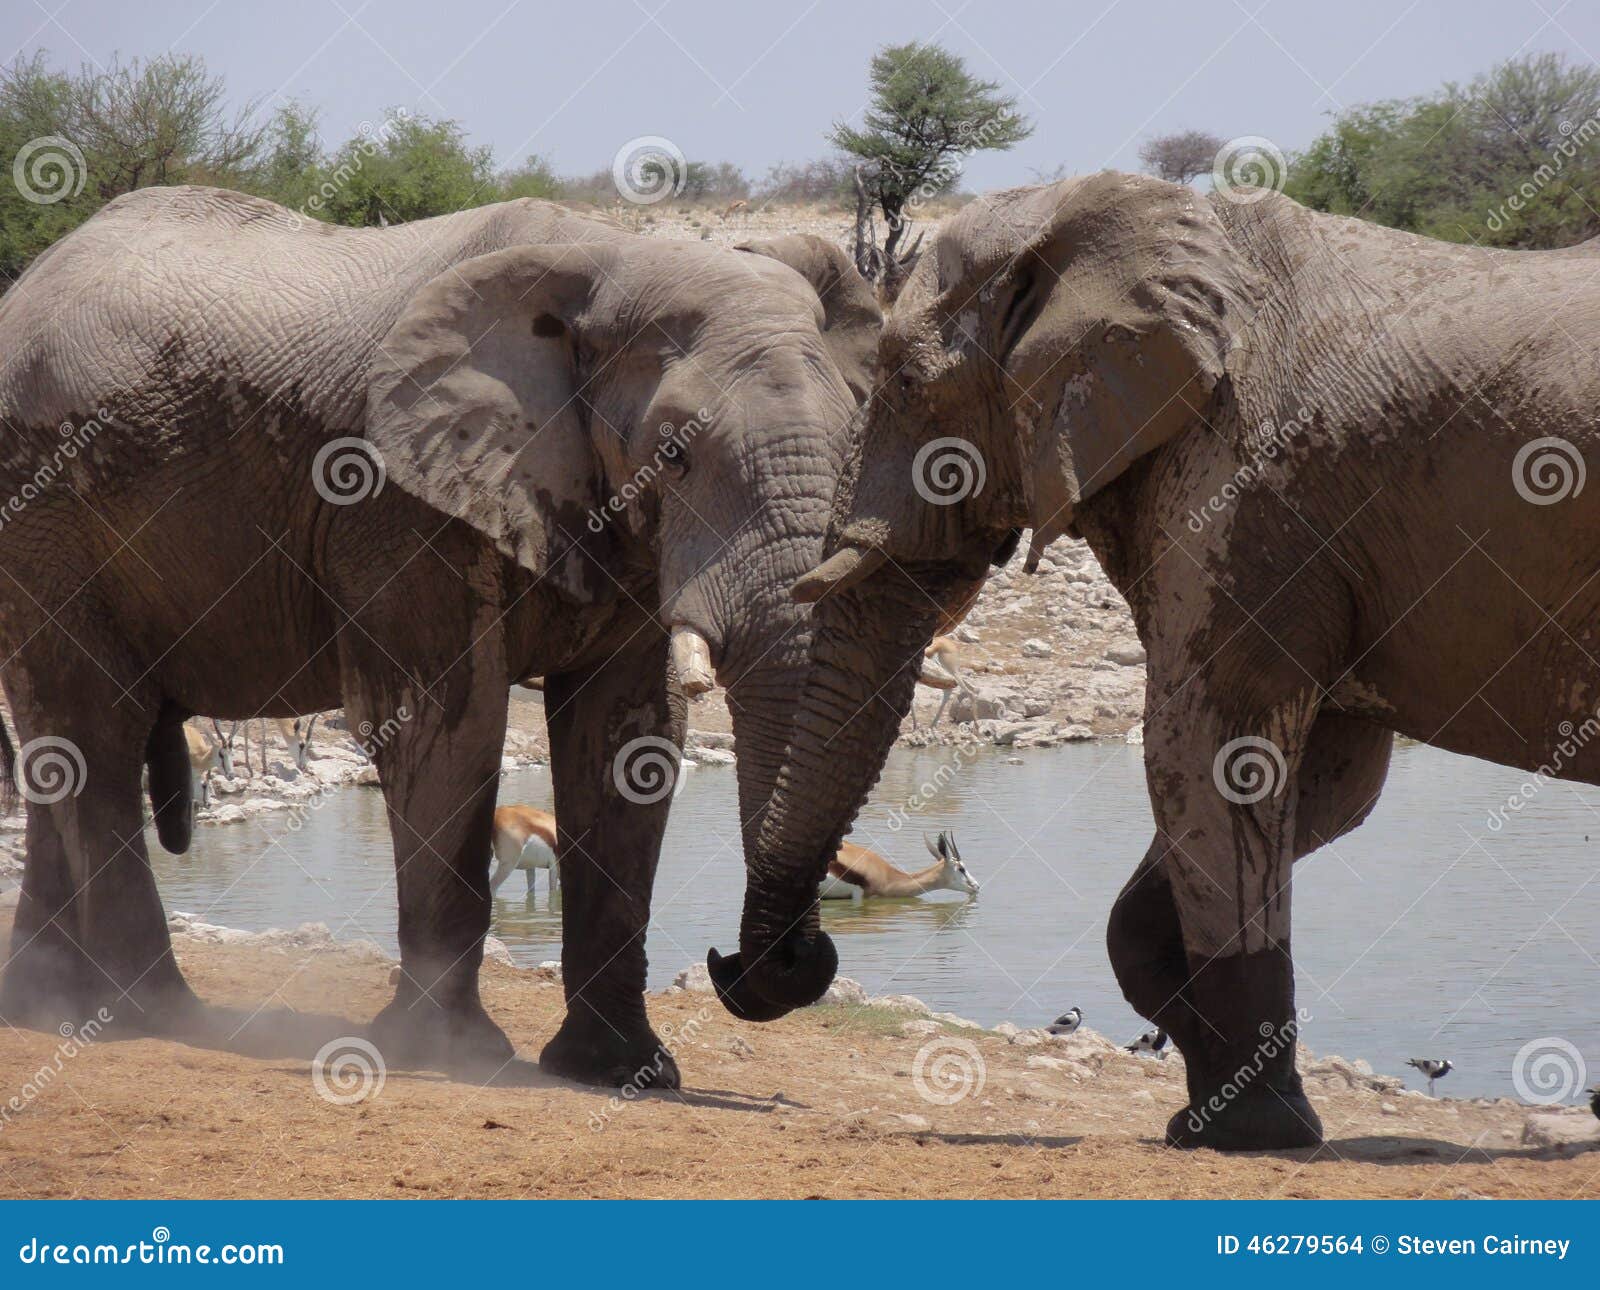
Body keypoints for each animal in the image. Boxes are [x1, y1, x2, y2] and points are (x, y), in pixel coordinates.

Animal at [0, 184, 877, 1087]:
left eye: (859, 442)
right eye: (674, 455)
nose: (731, 964)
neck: (607, 257)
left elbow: (629, 735)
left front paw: (623, 1074)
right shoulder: (396, 500)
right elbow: (448, 721)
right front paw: (452, 1055)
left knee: (59, 744)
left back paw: (45, 1003)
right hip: (43, 511)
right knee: (95, 728)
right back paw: (152, 1014)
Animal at [727, 170, 1600, 1150]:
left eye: (909, 382)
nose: (746, 964)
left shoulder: (1245, 484)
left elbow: (1213, 744)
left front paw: (1245, 1126)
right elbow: (1323, 777)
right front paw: (1218, 1103)